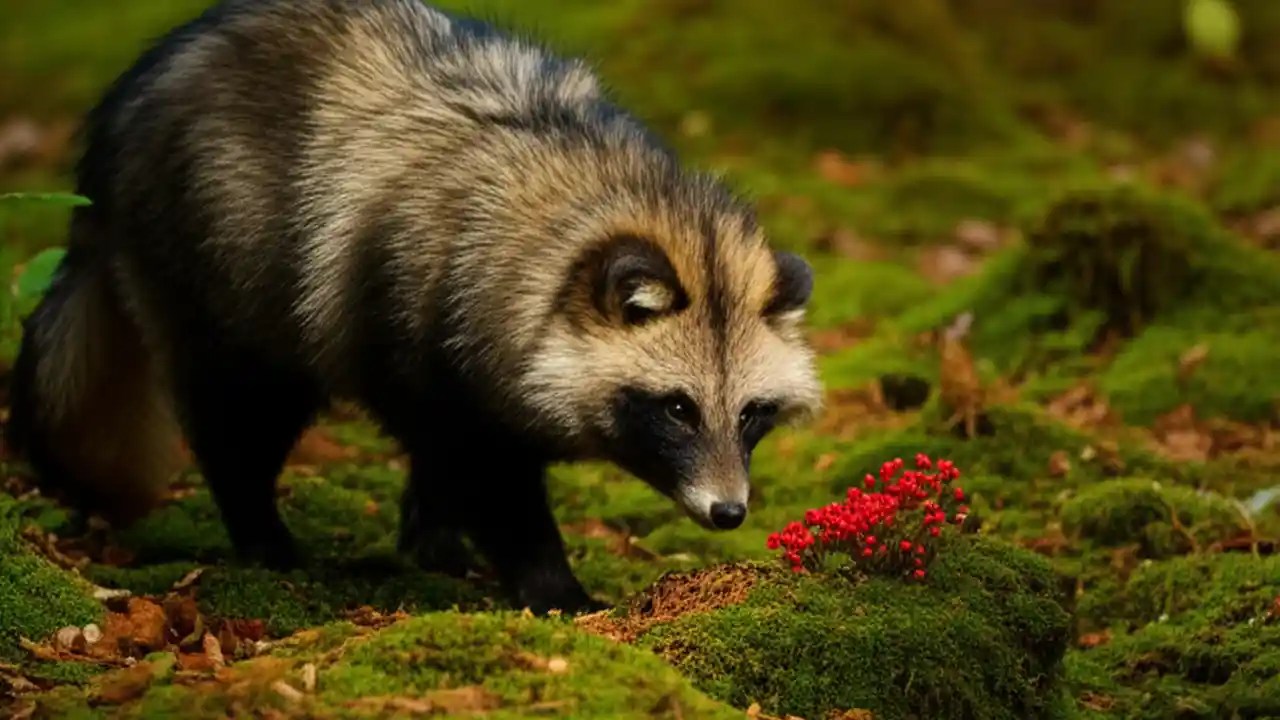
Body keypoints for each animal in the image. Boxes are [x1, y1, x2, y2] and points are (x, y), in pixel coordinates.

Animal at [6, 0, 823, 615]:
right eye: (679, 408)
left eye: (751, 414)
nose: (730, 512)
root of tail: (118, 119)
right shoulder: (413, 301)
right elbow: (484, 466)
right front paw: (548, 581)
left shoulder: (459, 346)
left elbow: (451, 444)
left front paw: (432, 531)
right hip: (219, 249)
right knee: (241, 407)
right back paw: (259, 529)